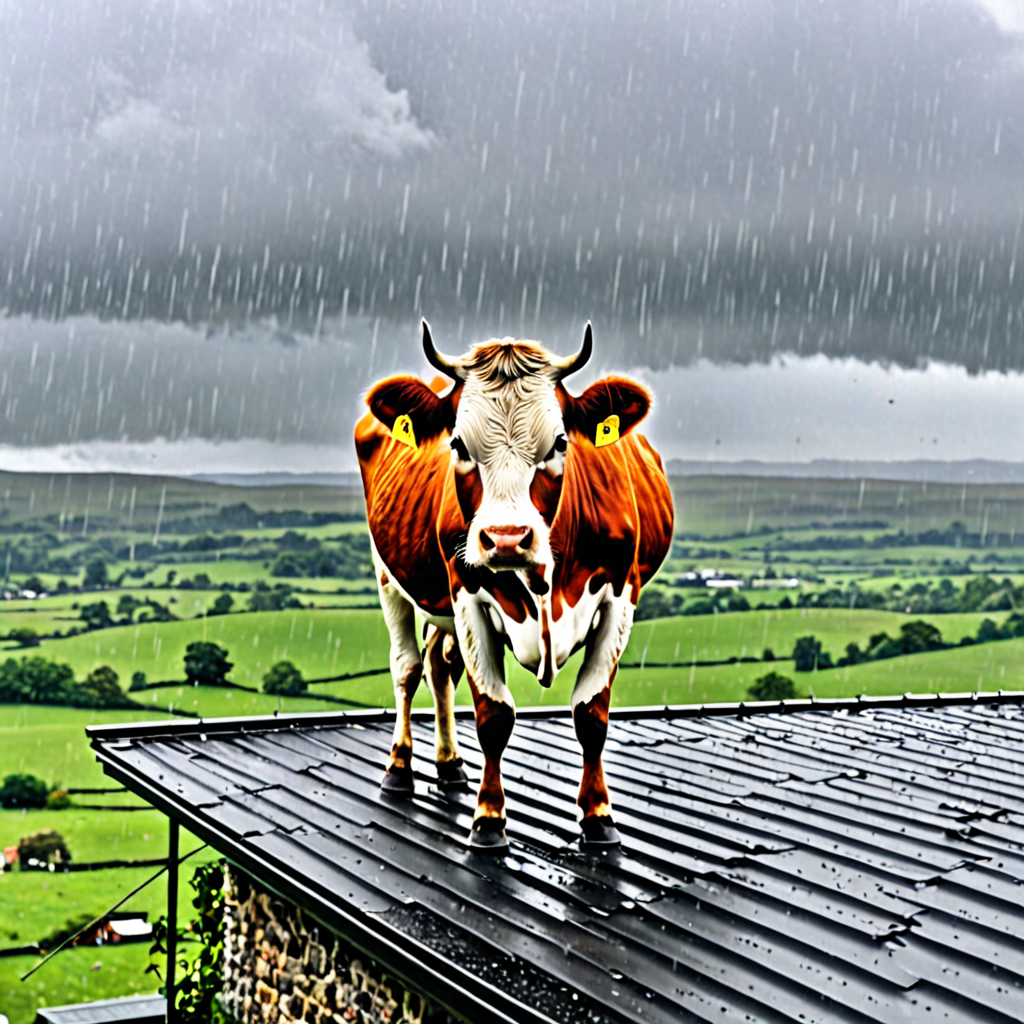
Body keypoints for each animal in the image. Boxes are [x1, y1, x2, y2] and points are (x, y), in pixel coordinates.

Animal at [354, 321, 674, 851]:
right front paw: (488, 819)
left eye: (561, 443)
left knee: (439, 664)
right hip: (389, 575)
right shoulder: (466, 596)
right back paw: (399, 767)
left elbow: (591, 714)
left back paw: (450, 764)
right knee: (407, 668)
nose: (506, 539)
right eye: (458, 446)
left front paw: (598, 817)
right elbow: (494, 715)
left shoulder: (620, 598)